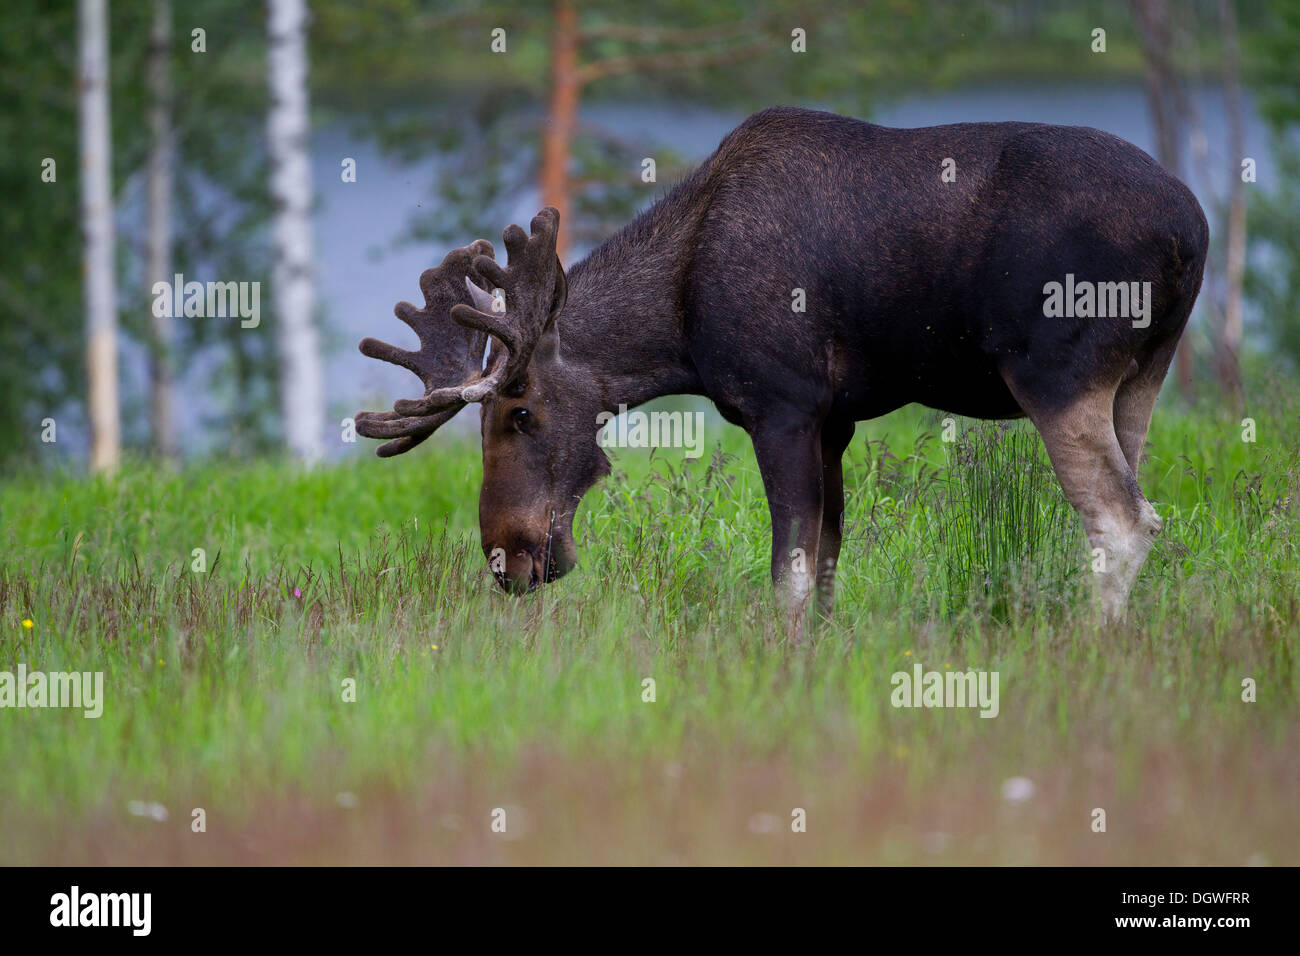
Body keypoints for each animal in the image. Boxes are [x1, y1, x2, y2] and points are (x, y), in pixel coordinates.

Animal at [355, 106, 1208, 637]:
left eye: (521, 413)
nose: (508, 558)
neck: (677, 323)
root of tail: (1192, 229)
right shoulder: (837, 421)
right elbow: (828, 562)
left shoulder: (783, 405)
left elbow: (788, 572)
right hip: (1142, 378)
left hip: (1056, 373)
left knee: (1122, 520)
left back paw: (1087, 646)